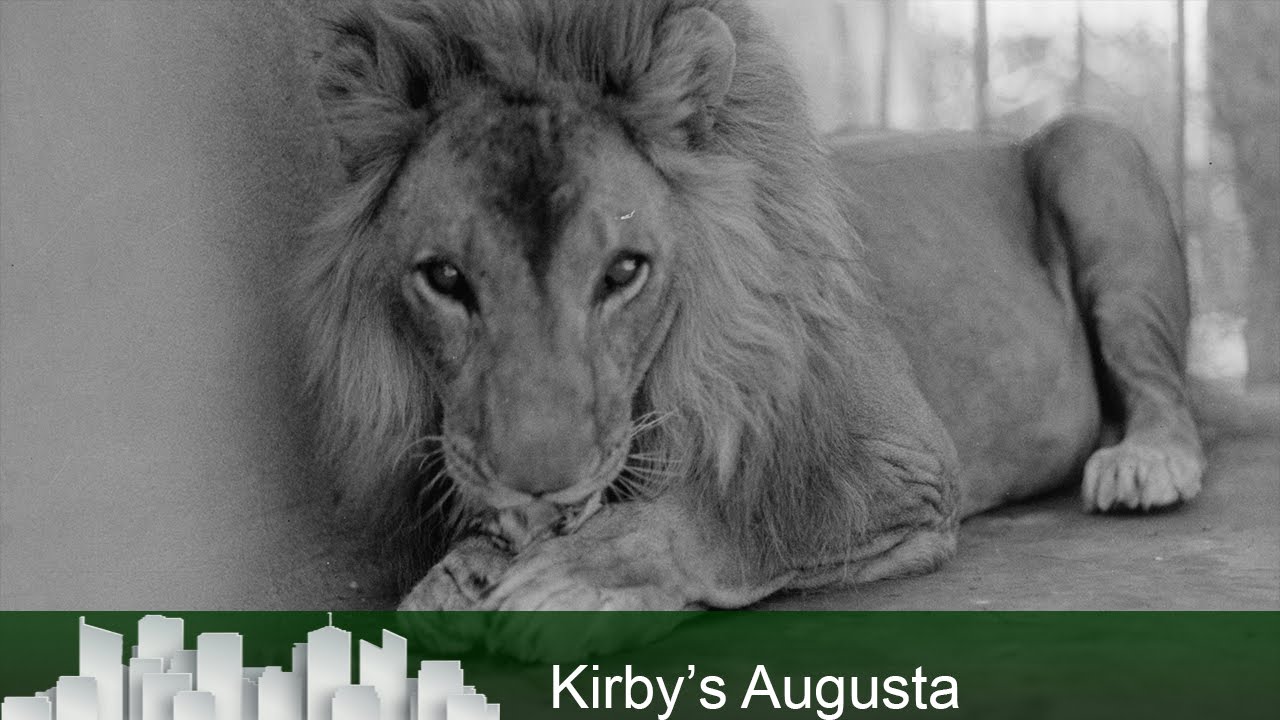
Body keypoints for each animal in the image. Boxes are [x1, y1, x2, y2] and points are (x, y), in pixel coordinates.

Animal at [297, 0, 1205, 618]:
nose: (540, 485)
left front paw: (577, 574)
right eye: (444, 278)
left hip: (1091, 145)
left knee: (1165, 391)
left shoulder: (903, 461)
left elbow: (746, 515)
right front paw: (457, 575)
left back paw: (1145, 462)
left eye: (624, 272)